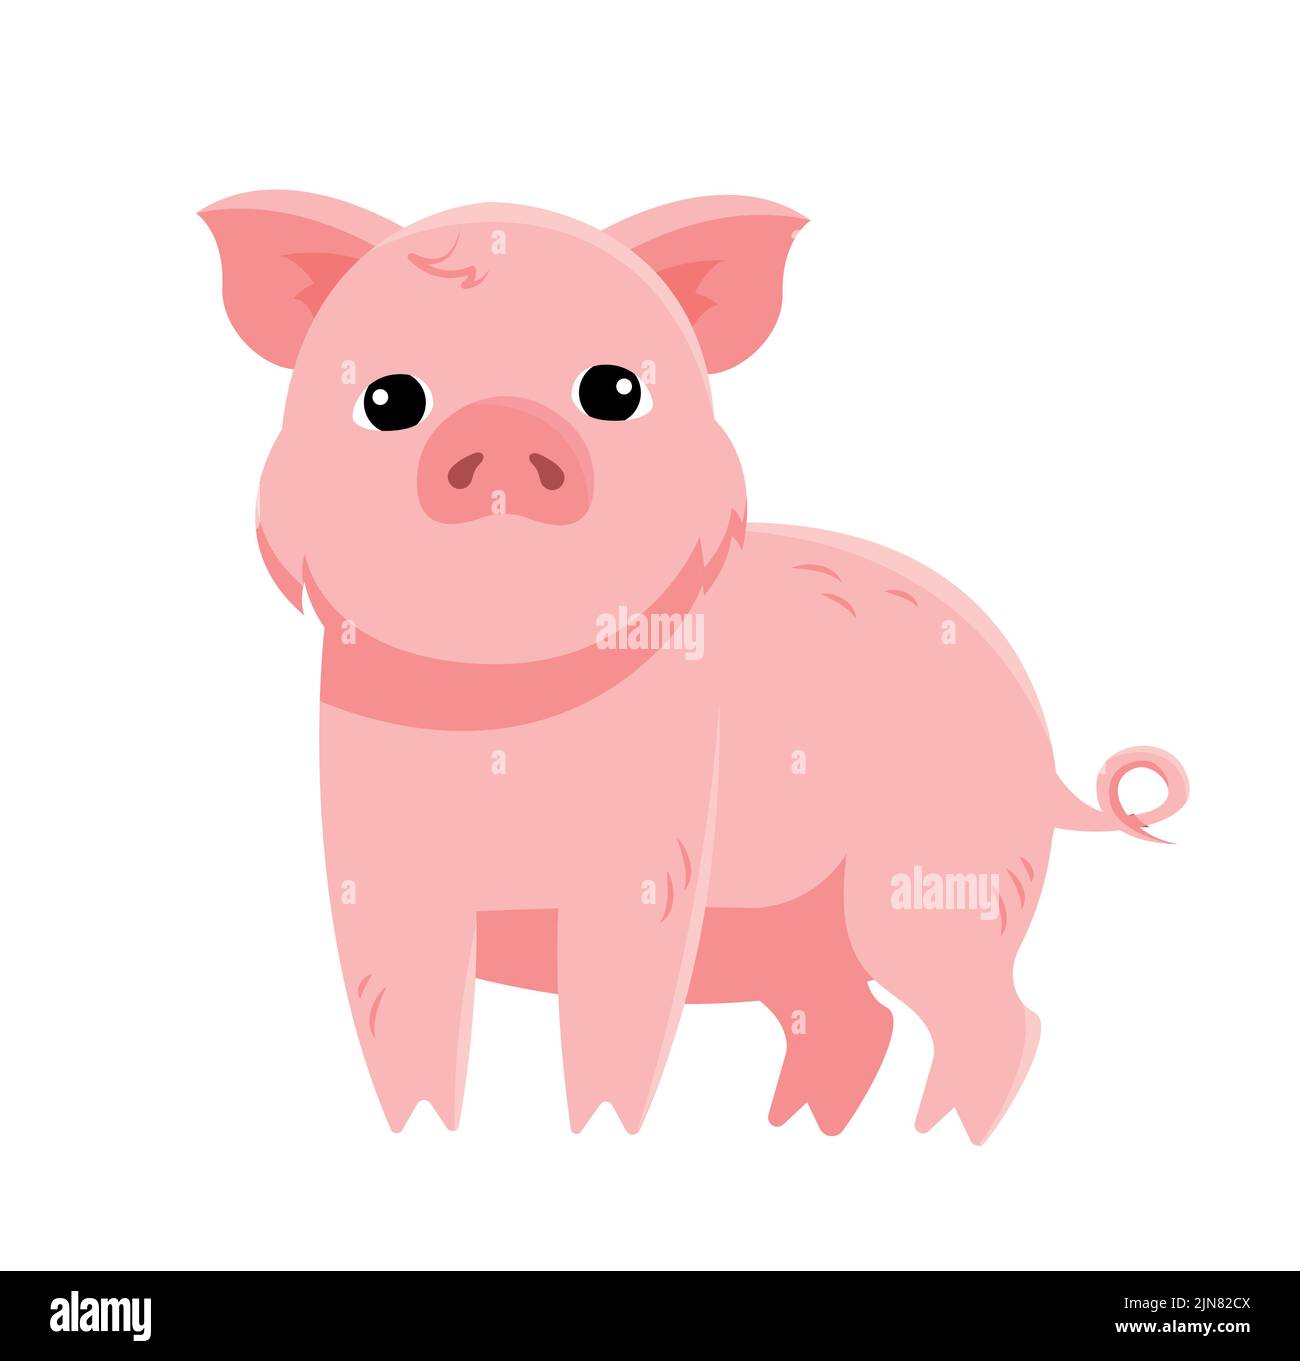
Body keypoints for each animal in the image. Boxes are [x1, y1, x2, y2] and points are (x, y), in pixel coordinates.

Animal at [201, 191, 1187, 1142]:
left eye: (615, 389)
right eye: (387, 398)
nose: (505, 429)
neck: (502, 718)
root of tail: (1042, 751)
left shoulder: (654, 859)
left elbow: (615, 1022)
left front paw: (602, 1135)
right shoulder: (373, 862)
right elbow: (402, 1029)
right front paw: (424, 1137)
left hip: (934, 873)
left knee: (997, 1019)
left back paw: (934, 1139)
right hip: (797, 933)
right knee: (856, 1018)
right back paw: (795, 1135)